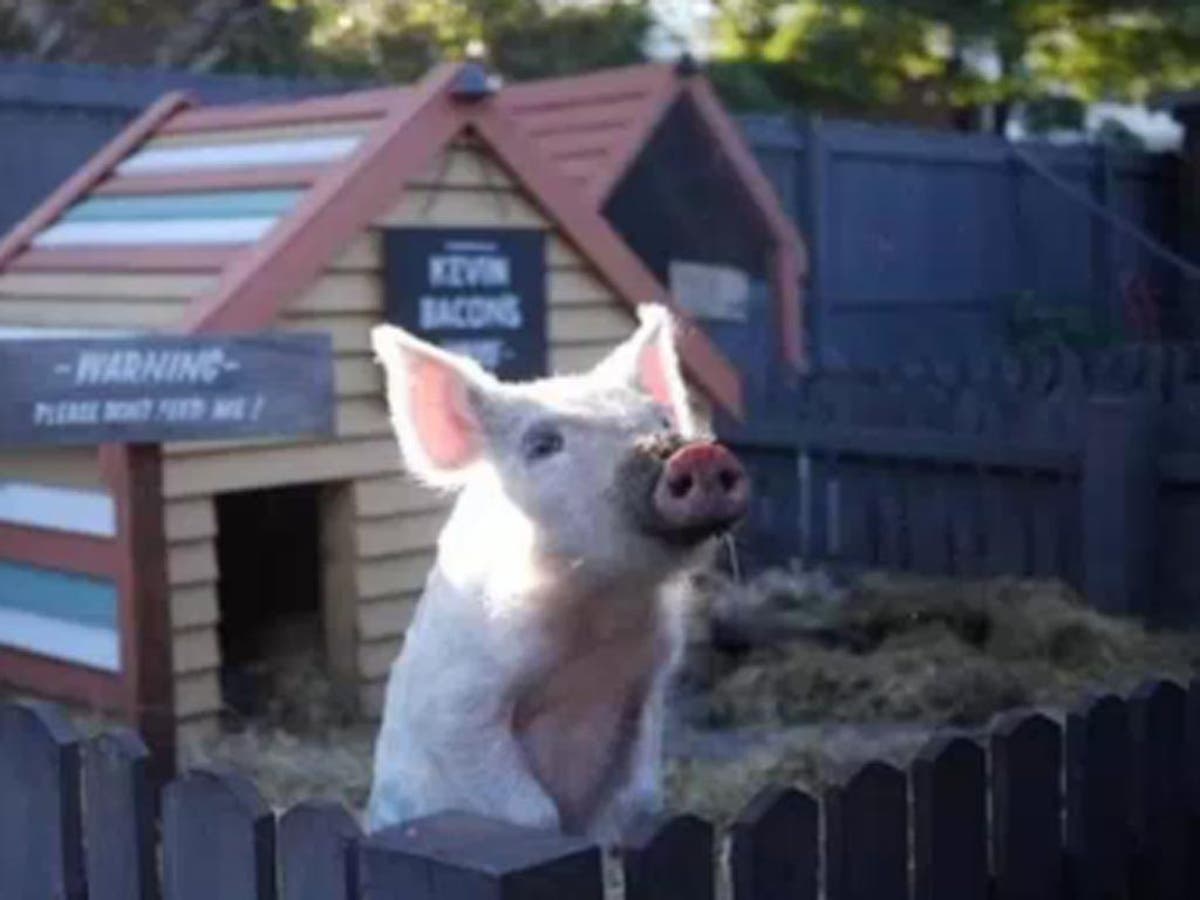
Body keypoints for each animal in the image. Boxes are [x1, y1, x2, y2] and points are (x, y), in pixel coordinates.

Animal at [364, 303, 749, 844]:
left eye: (662, 418)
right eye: (543, 444)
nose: (697, 452)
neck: (601, 617)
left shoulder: (649, 684)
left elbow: (637, 796)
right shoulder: (457, 703)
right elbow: (531, 813)